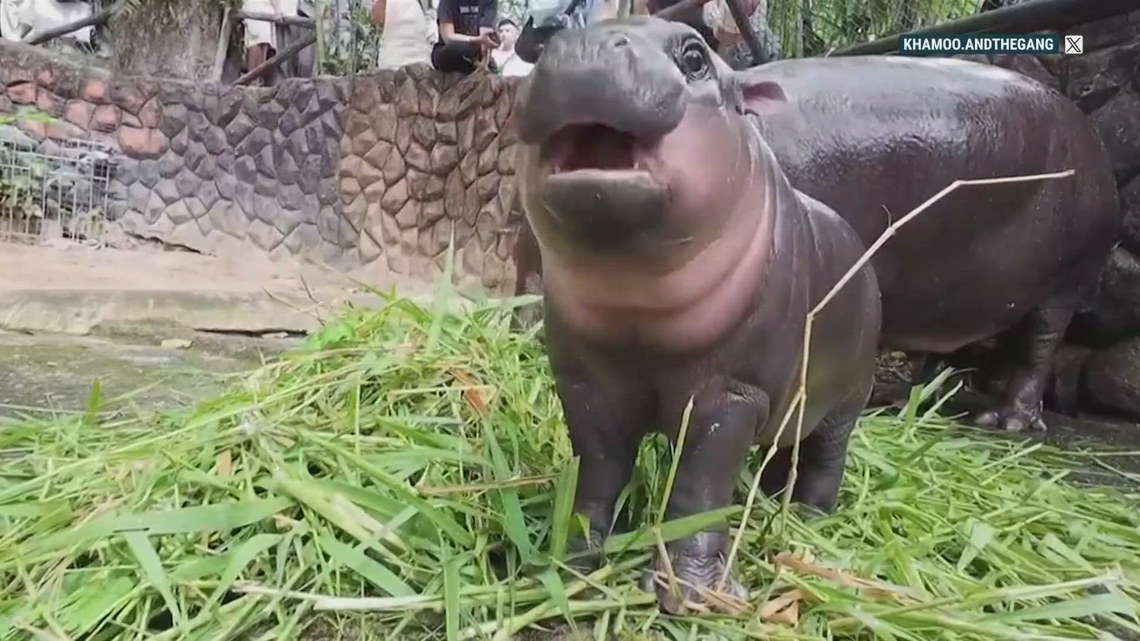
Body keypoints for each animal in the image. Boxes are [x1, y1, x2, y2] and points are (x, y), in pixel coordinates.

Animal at [513, 17, 882, 612]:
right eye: (545, 44)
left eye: (695, 56)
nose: (584, 47)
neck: (635, 307)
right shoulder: (587, 382)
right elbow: (598, 471)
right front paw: (574, 563)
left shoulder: (732, 393)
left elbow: (700, 490)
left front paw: (688, 593)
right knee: (783, 449)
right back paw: (772, 502)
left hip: (847, 400)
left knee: (826, 456)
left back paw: (809, 520)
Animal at [513, 45, 1122, 434]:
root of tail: (1093, 136)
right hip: (960, 290)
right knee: (943, 351)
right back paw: (906, 402)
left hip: (1067, 280)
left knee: (1038, 347)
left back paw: (1006, 422)